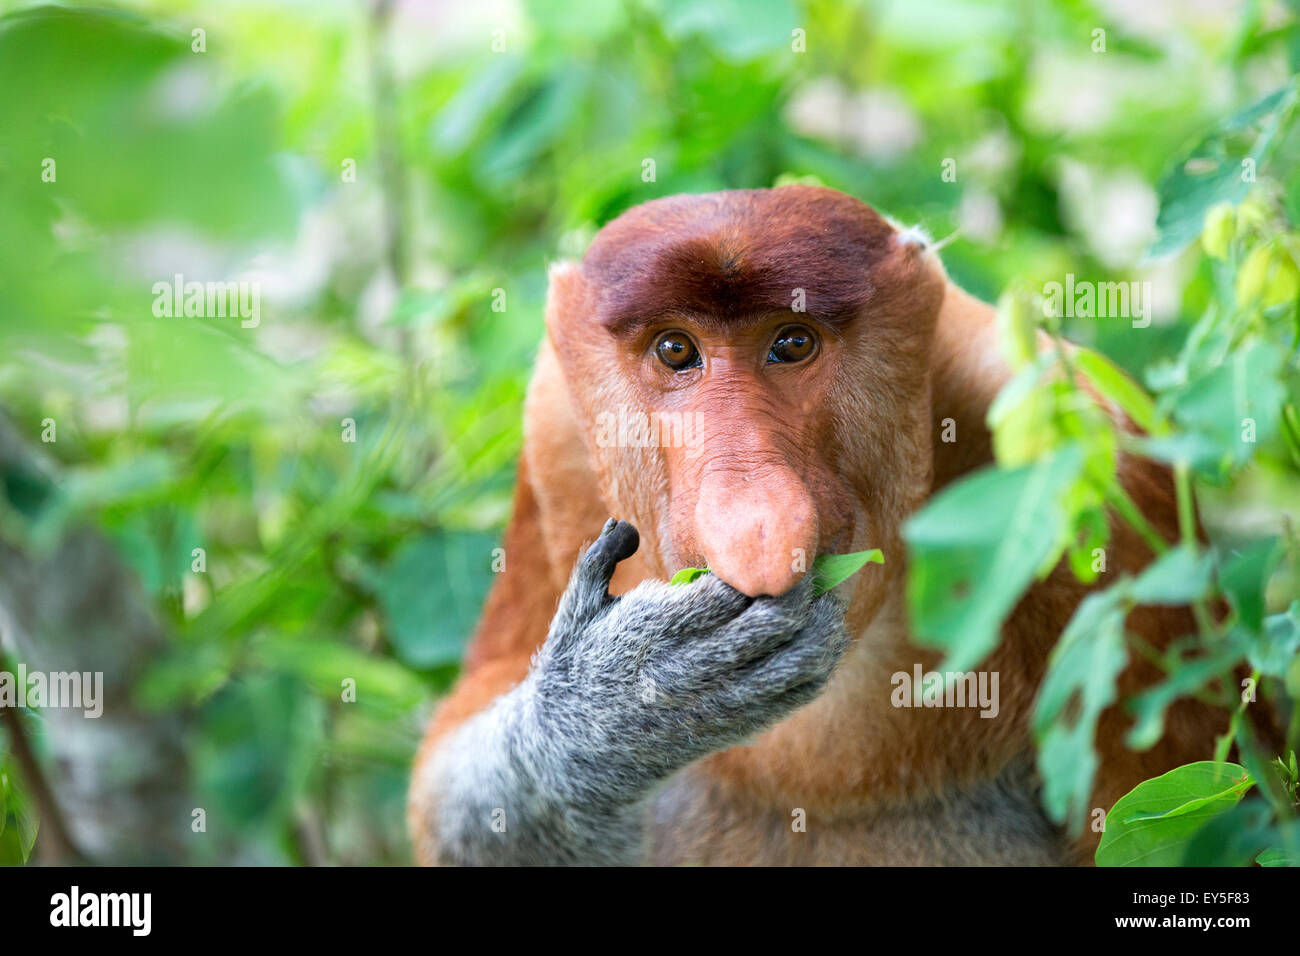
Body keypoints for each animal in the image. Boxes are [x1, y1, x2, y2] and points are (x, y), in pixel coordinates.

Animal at [408, 185, 1226, 866]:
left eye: (793, 342)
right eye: (676, 349)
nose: (758, 526)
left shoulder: (1099, 467)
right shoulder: (554, 434)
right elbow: (453, 774)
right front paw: (632, 697)